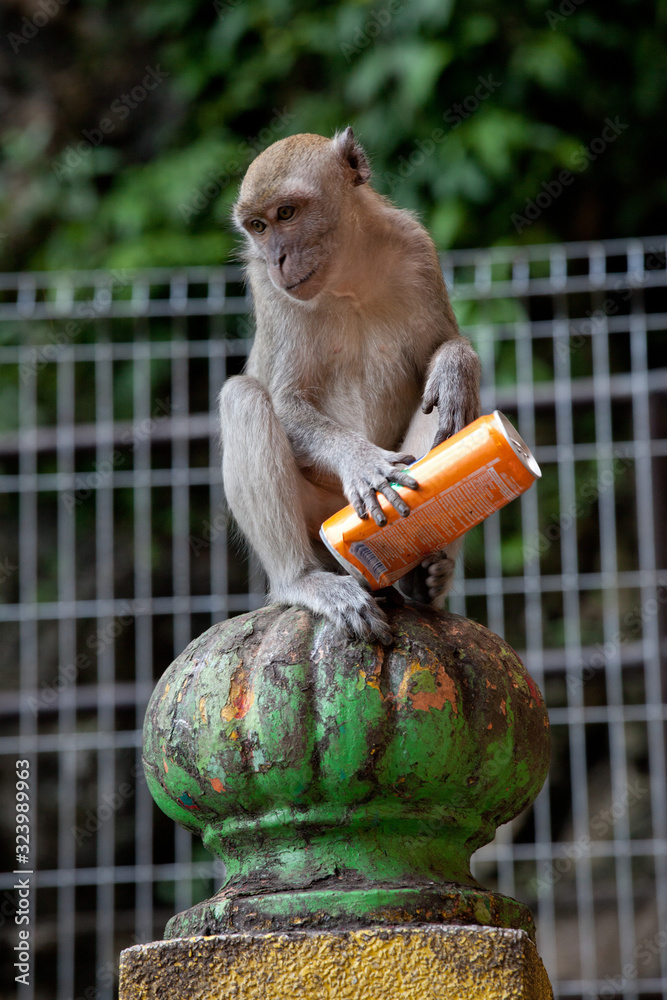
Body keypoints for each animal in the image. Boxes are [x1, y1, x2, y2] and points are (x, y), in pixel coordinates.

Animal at [219, 128, 480, 644]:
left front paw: (454, 363)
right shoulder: (269, 290)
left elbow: (441, 352)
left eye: (286, 214)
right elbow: (286, 402)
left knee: (453, 404)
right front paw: (361, 462)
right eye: (257, 226)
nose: (277, 259)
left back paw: (423, 574)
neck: (348, 277)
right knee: (244, 398)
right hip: (320, 521)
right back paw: (304, 580)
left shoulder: (417, 250)